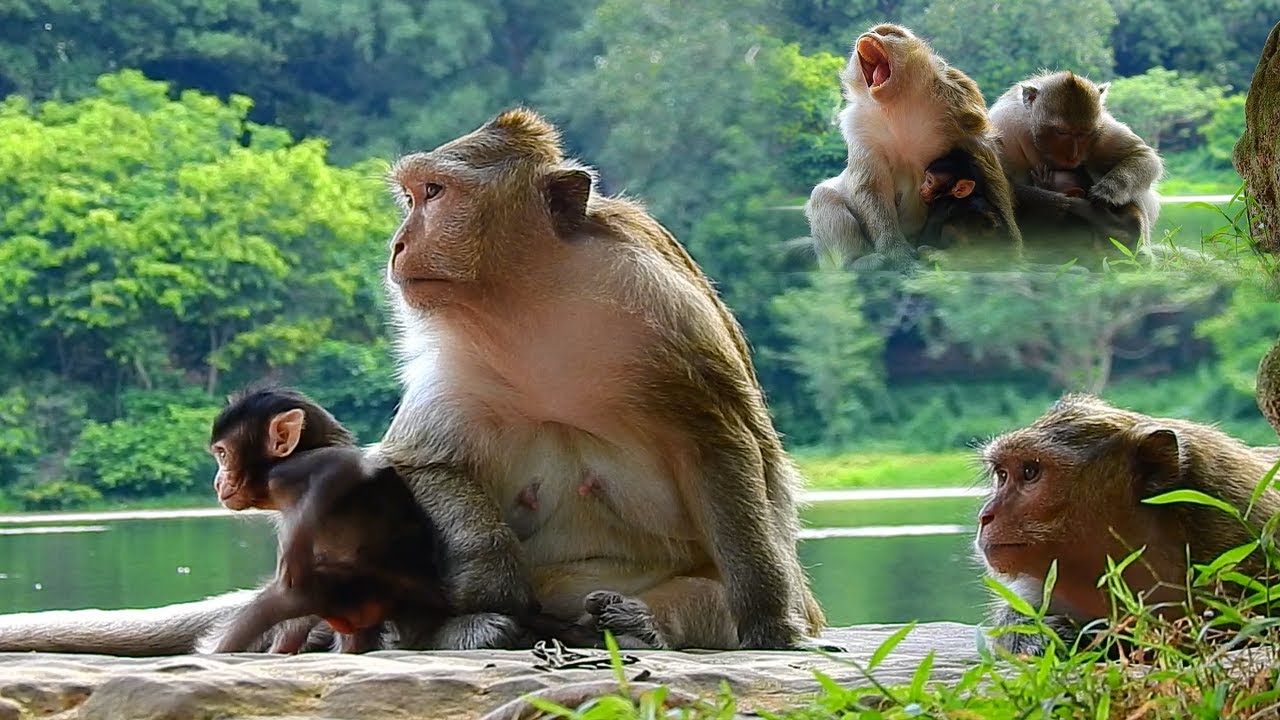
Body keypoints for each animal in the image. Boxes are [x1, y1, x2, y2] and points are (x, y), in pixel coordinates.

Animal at [0, 108, 824, 655]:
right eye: (412, 196)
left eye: (435, 193)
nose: (398, 243)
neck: (534, 303)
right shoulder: (452, 357)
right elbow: (421, 462)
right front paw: (488, 587)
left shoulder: (661, 309)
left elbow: (720, 445)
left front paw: (767, 627)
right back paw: (470, 626)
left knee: (703, 587)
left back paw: (638, 620)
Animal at [803, 22, 1022, 272]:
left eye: (889, 33)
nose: (870, 34)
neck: (898, 104)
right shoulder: (859, 125)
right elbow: (871, 185)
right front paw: (895, 251)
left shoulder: (961, 103)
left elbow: (984, 159)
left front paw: (1010, 242)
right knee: (824, 195)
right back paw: (856, 262)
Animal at [988, 71, 1164, 263]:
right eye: (1061, 132)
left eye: (1084, 134)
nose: (1073, 155)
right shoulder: (1006, 129)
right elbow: (1001, 184)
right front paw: (1054, 201)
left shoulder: (1102, 128)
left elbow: (1142, 155)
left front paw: (1108, 190)